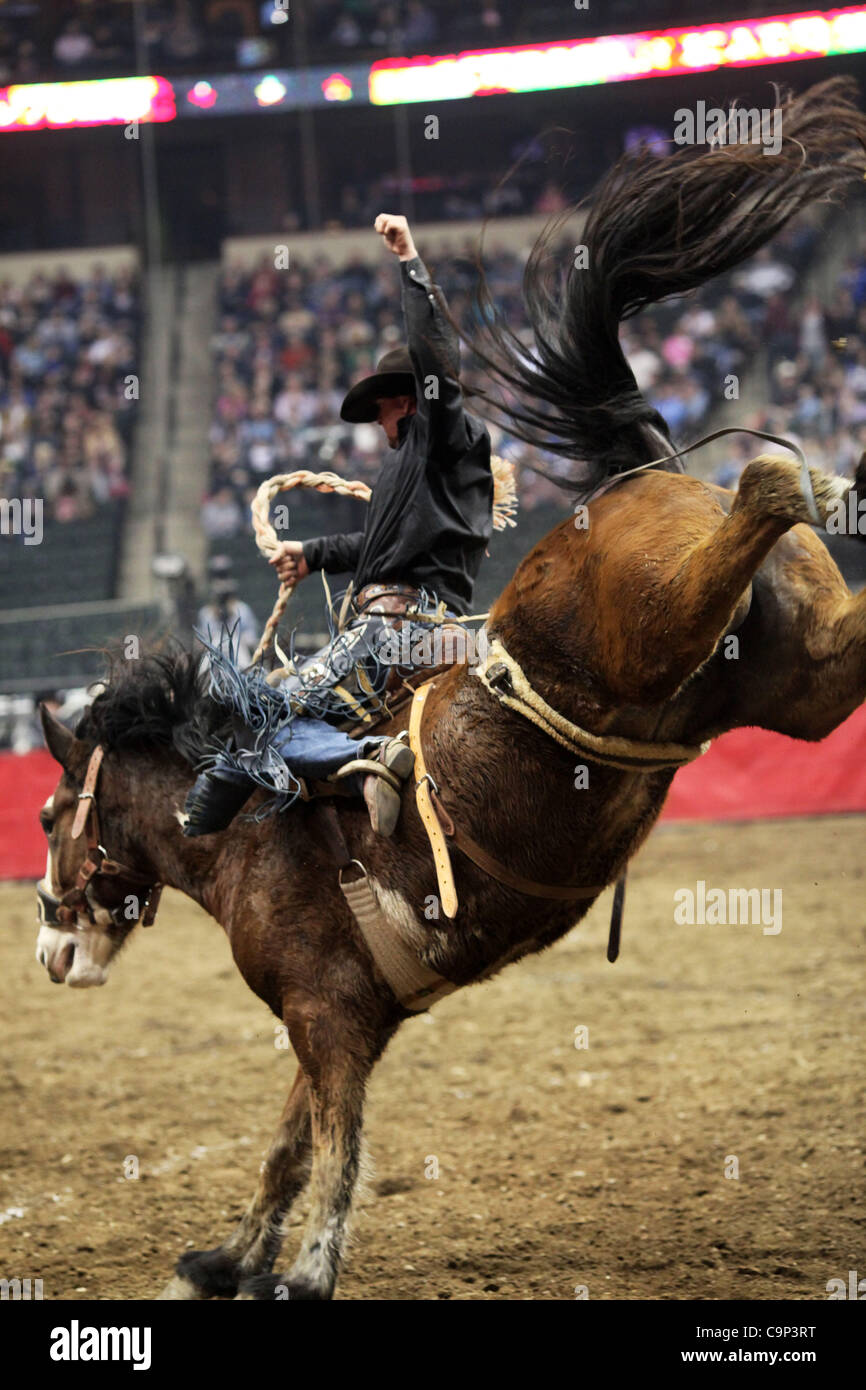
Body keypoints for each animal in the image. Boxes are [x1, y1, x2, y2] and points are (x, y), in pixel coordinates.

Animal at [33, 77, 866, 1299]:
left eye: (50, 812)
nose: (49, 949)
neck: (240, 834)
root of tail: (650, 465)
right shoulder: (343, 1016)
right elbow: (288, 1144)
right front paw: (227, 1258)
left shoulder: (328, 1017)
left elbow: (334, 1146)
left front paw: (303, 1271)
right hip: (799, 674)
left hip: (655, 624)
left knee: (767, 478)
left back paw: (819, 473)